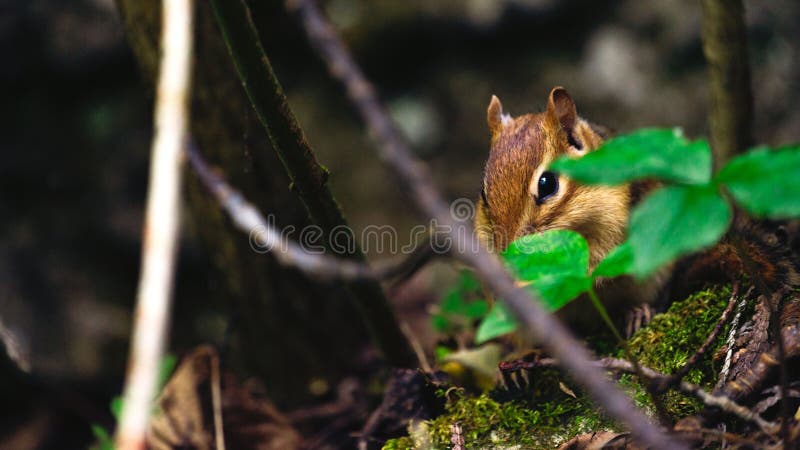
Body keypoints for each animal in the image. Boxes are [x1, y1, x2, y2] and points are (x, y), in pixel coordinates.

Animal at [473, 87, 800, 330]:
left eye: (547, 184)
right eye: (484, 194)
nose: (506, 252)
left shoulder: (615, 225)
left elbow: (597, 262)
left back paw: (636, 313)